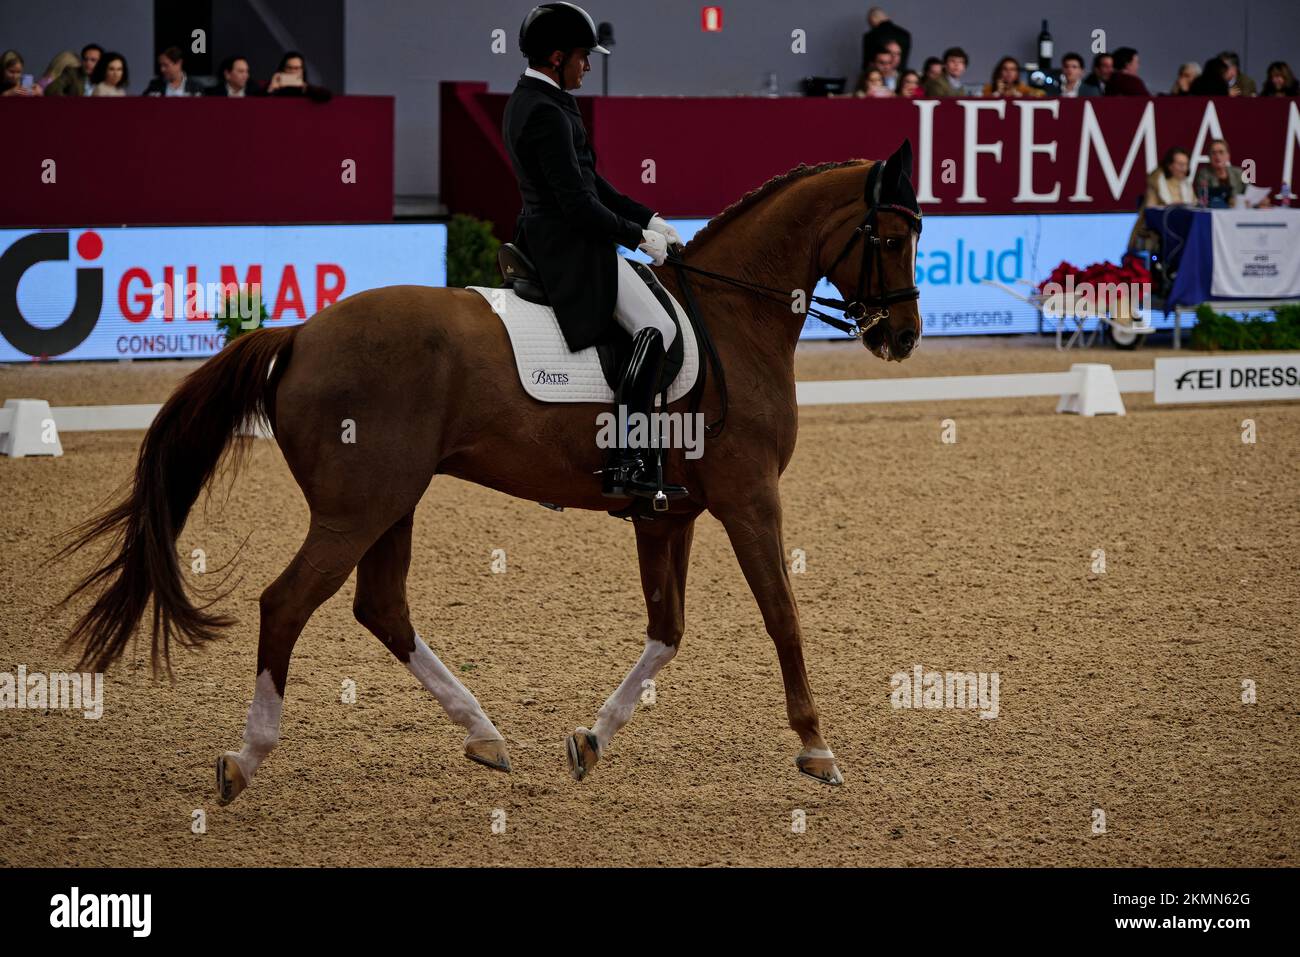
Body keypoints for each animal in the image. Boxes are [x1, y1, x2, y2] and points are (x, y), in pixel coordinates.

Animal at [58, 142, 923, 804]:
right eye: (887, 238)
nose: (903, 336)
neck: (731, 318)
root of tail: (300, 333)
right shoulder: (750, 498)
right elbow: (782, 617)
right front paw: (817, 748)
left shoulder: (666, 511)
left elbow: (666, 631)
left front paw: (590, 740)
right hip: (358, 508)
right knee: (287, 603)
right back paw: (246, 758)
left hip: (392, 502)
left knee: (382, 608)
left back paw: (484, 734)